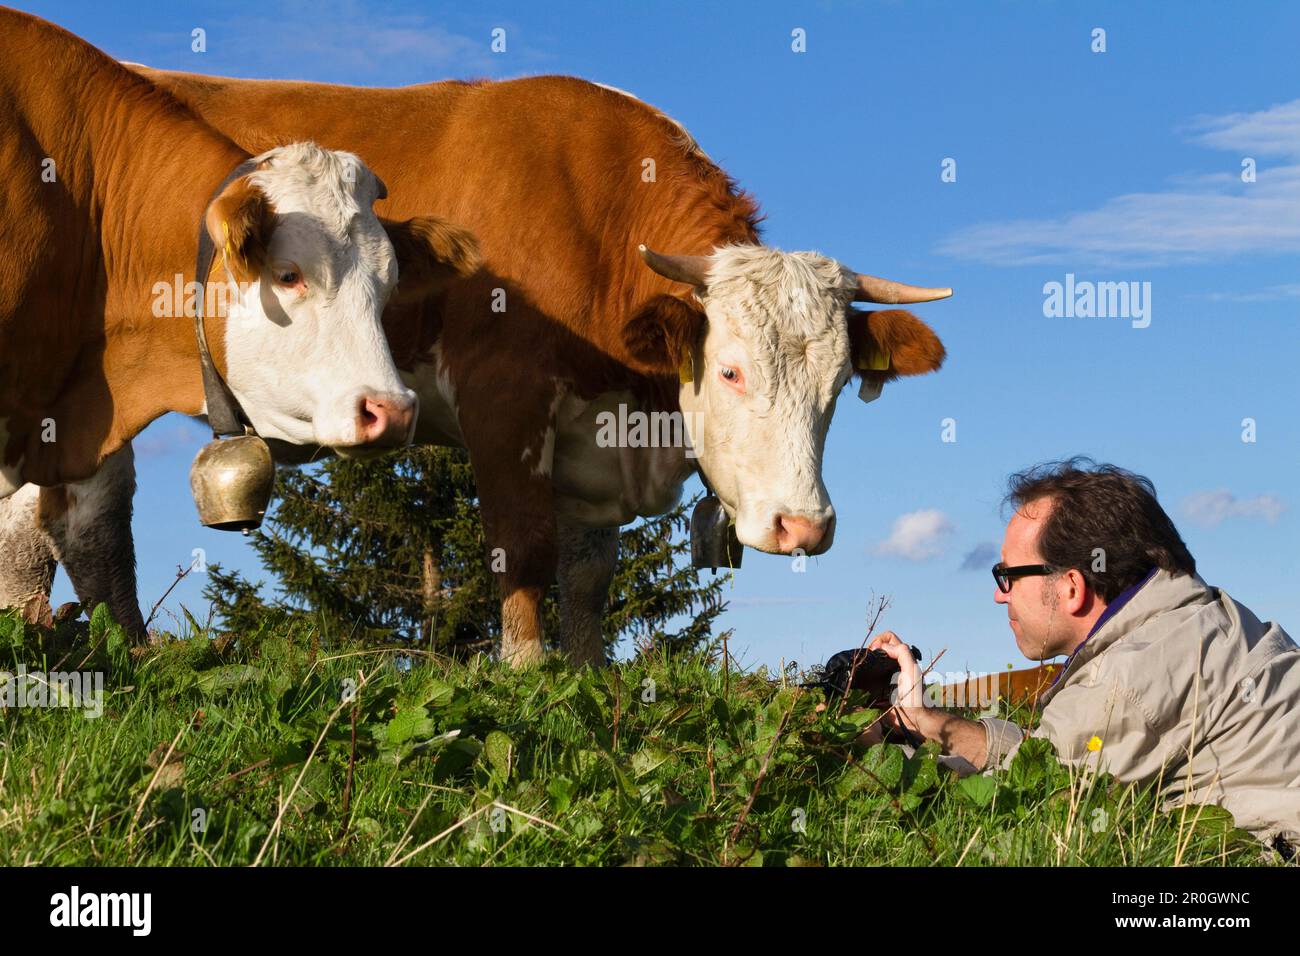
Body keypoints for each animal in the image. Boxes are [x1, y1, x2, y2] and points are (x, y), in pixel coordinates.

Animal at [0, 63, 951, 665]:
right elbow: (522, 556)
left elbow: (587, 583)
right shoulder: (505, 400)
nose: (804, 529)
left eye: (839, 386)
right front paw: (527, 678)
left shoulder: (589, 449)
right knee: (47, 529)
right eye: (729, 372)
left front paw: (587, 683)